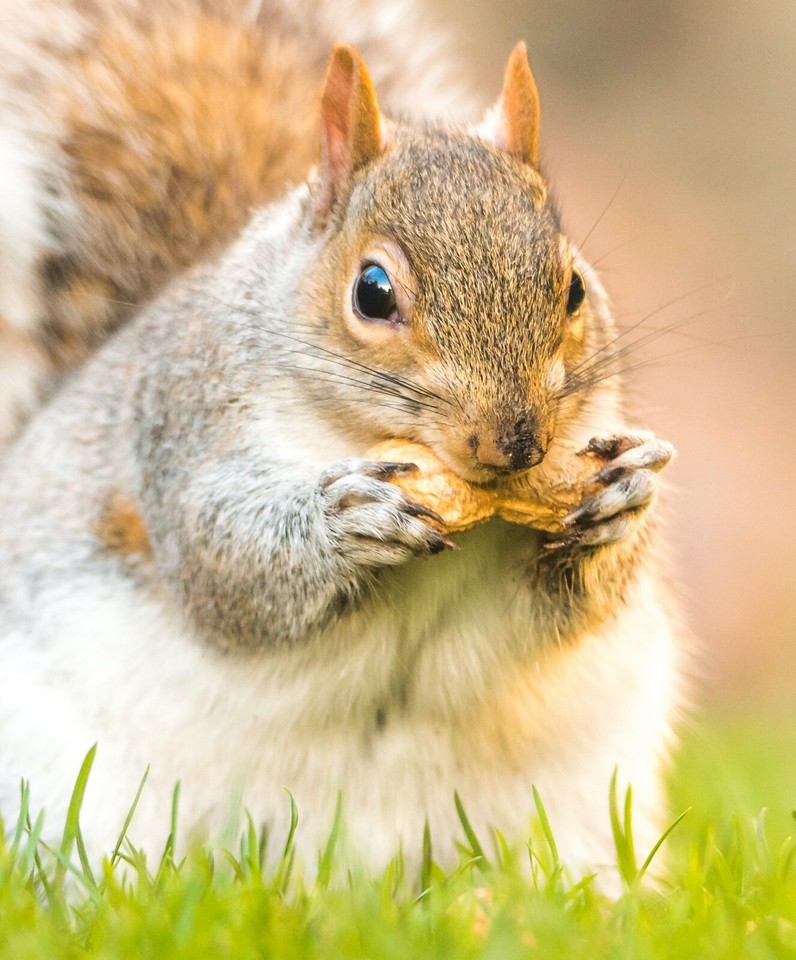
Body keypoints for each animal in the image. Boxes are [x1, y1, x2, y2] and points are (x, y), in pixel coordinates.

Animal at [0, 4, 684, 885]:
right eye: (373, 291)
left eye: (572, 288)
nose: (517, 444)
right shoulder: (182, 430)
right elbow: (224, 566)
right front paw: (345, 520)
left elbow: (570, 606)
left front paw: (623, 497)